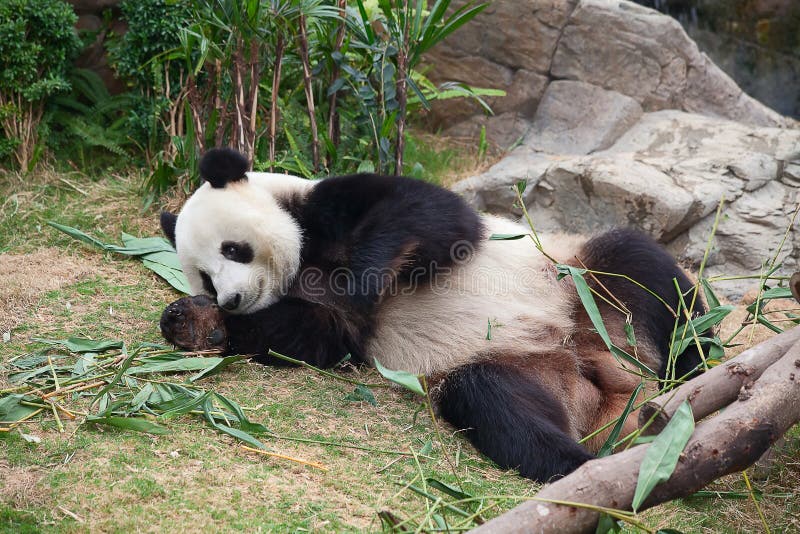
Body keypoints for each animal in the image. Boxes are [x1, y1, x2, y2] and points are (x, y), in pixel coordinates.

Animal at [159, 147, 706, 482]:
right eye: (205, 277)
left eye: (234, 249)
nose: (231, 299)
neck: (303, 263)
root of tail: (611, 385)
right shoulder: (331, 324)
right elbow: (311, 336)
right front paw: (192, 323)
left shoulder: (326, 202)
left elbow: (434, 219)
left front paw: (364, 278)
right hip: (527, 370)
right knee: (495, 402)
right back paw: (583, 463)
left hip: (579, 276)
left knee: (650, 274)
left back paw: (695, 378)